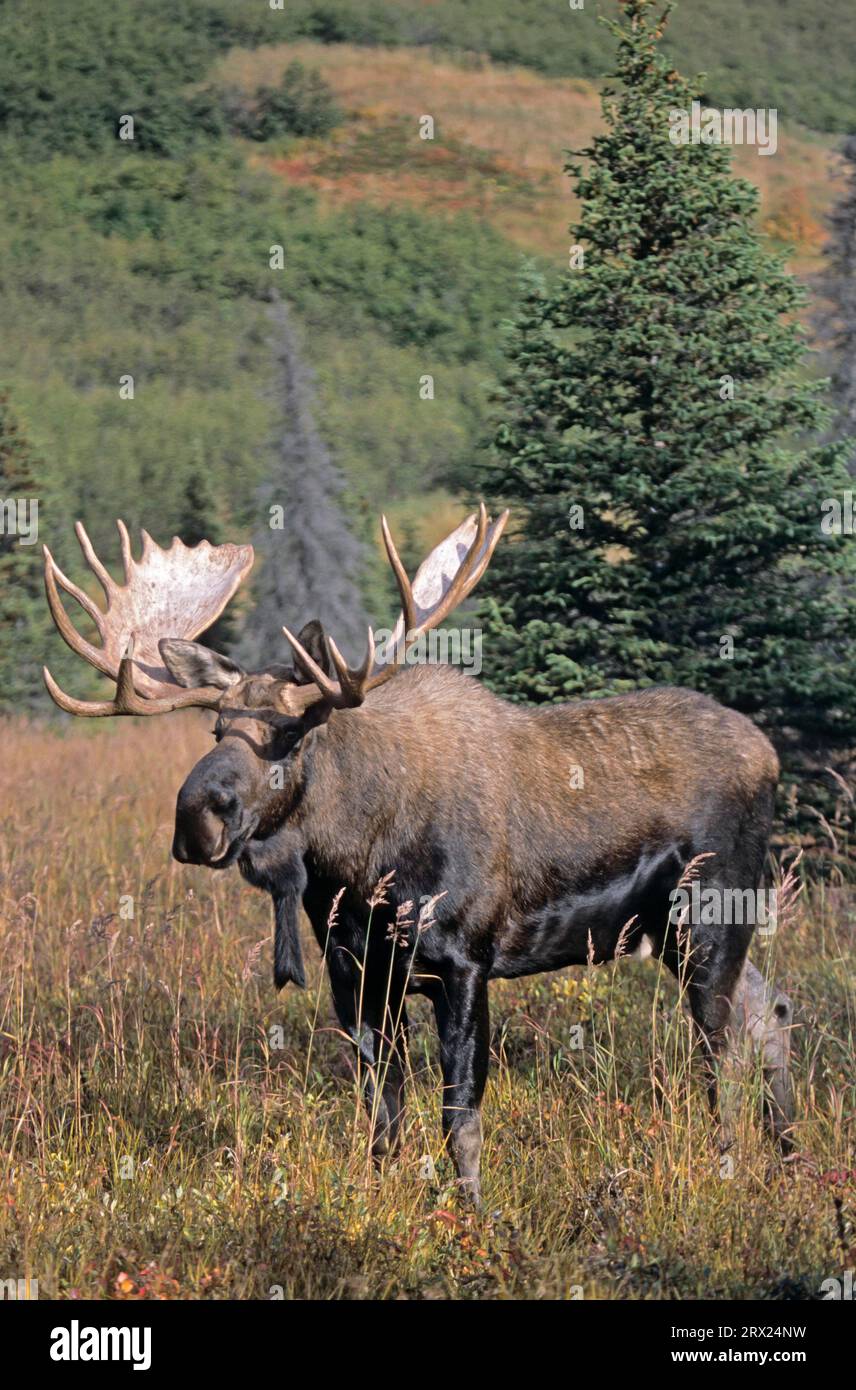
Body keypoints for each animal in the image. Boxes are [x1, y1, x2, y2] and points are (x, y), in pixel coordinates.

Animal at [42, 508, 794, 1202]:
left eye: (291, 733)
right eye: (217, 728)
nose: (196, 816)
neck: (360, 865)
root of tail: (770, 754)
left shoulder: (463, 961)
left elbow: (460, 1116)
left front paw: (473, 1215)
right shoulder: (355, 971)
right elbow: (384, 1115)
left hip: (712, 913)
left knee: (723, 1046)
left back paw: (733, 1163)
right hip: (672, 933)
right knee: (772, 1009)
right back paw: (788, 1160)